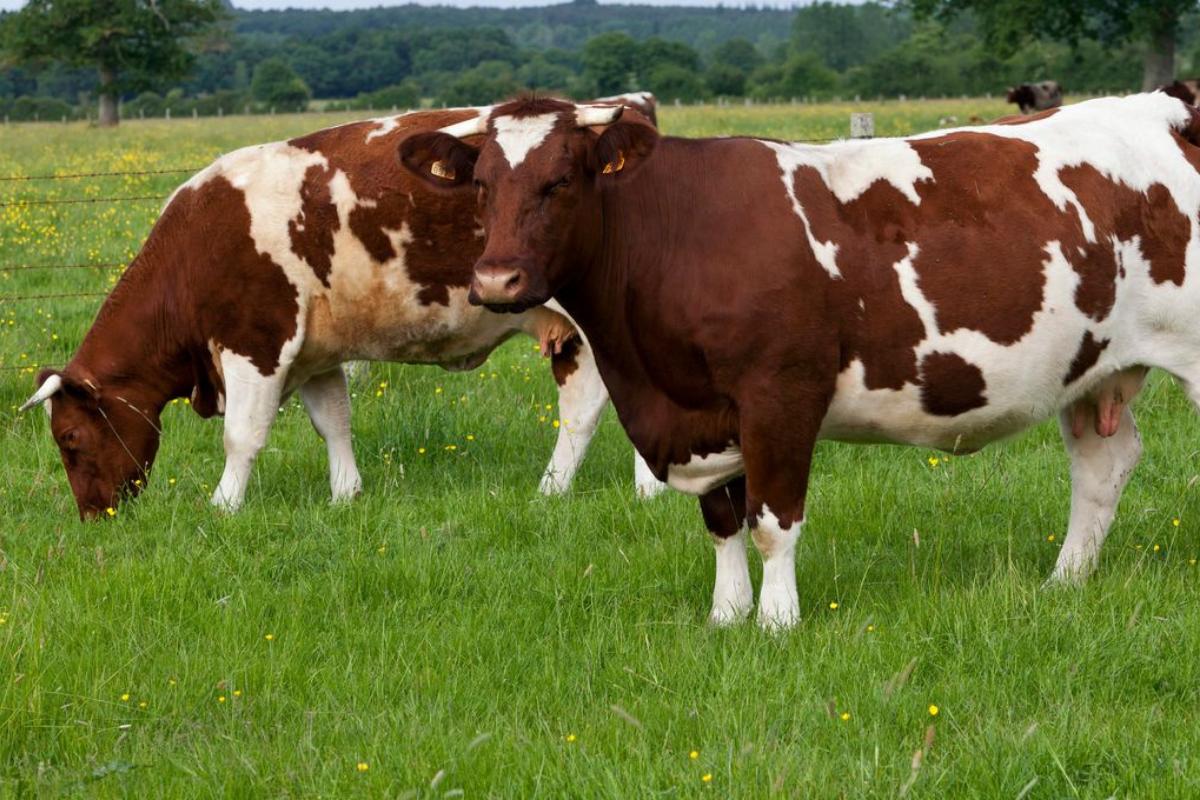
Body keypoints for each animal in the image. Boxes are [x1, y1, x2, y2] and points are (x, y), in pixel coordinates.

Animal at [20, 102, 664, 520]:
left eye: (70, 438)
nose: (93, 515)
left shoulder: (256, 341)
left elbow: (241, 436)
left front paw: (223, 508)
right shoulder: (317, 353)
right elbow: (334, 422)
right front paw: (346, 495)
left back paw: (648, 491)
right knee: (582, 405)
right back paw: (552, 491)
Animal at [399, 92, 1200, 629]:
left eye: (561, 180)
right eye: (480, 184)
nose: (498, 280)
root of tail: (1162, 106)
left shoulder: (779, 396)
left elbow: (771, 519)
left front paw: (778, 623)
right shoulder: (700, 412)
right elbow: (721, 519)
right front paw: (726, 616)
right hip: (1091, 367)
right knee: (1102, 467)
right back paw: (1064, 584)